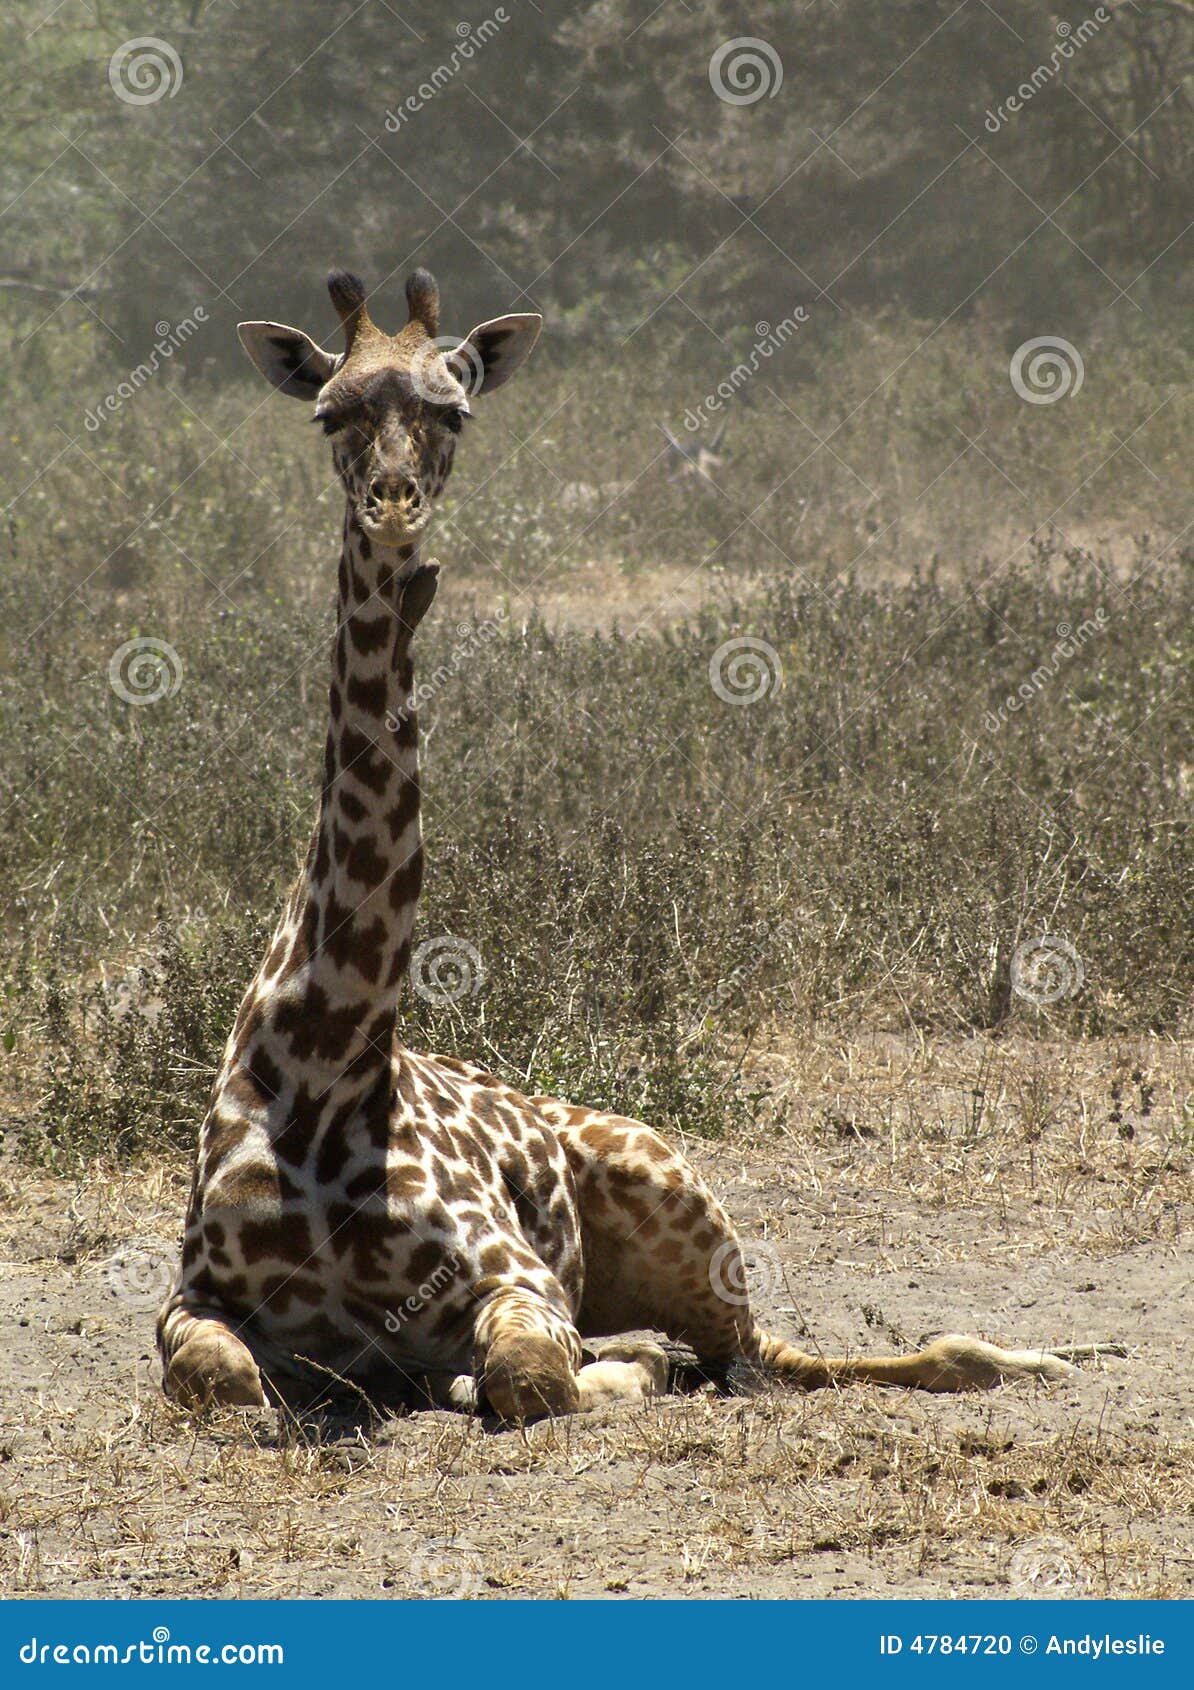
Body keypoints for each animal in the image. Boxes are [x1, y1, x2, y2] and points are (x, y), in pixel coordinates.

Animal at [158, 268, 1095, 1423]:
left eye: (455, 410)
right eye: (331, 413)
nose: (394, 509)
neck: (326, 1072)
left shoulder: (515, 1278)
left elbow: (530, 1379)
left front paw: (562, 1375)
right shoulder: (194, 1295)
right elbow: (224, 1379)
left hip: (676, 1195)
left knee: (757, 1354)